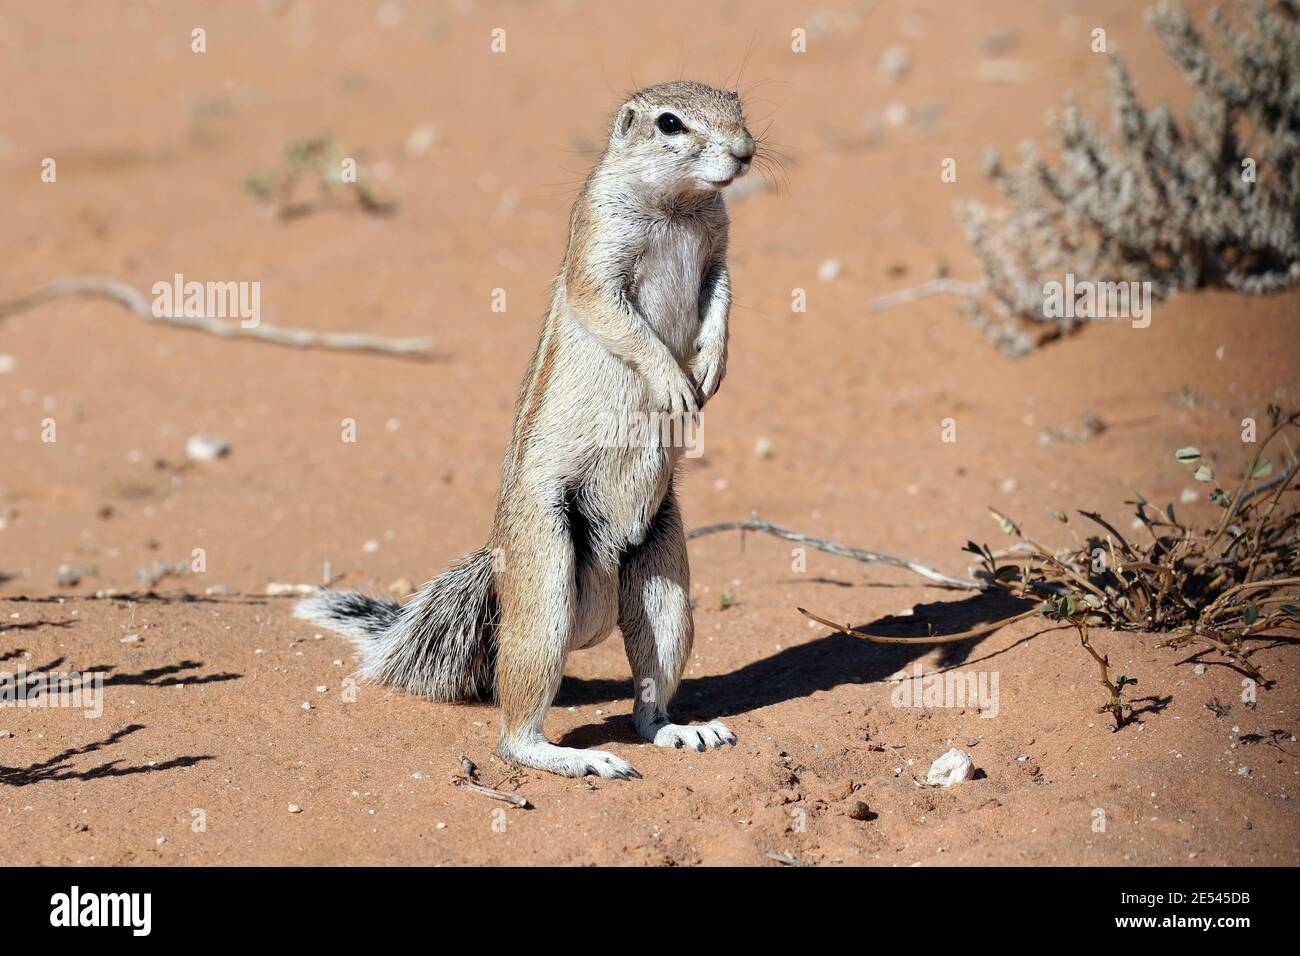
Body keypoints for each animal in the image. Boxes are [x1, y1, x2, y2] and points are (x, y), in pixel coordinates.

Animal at [296, 81, 756, 779]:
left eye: (737, 105)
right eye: (669, 124)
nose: (746, 152)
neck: (678, 204)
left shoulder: (720, 253)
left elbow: (724, 295)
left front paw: (711, 364)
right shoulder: (597, 255)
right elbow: (615, 315)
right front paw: (673, 380)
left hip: (666, 576)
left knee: (647, 693)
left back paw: (678, 730)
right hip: (544, 566)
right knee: (514, 731)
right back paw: (569, 758)